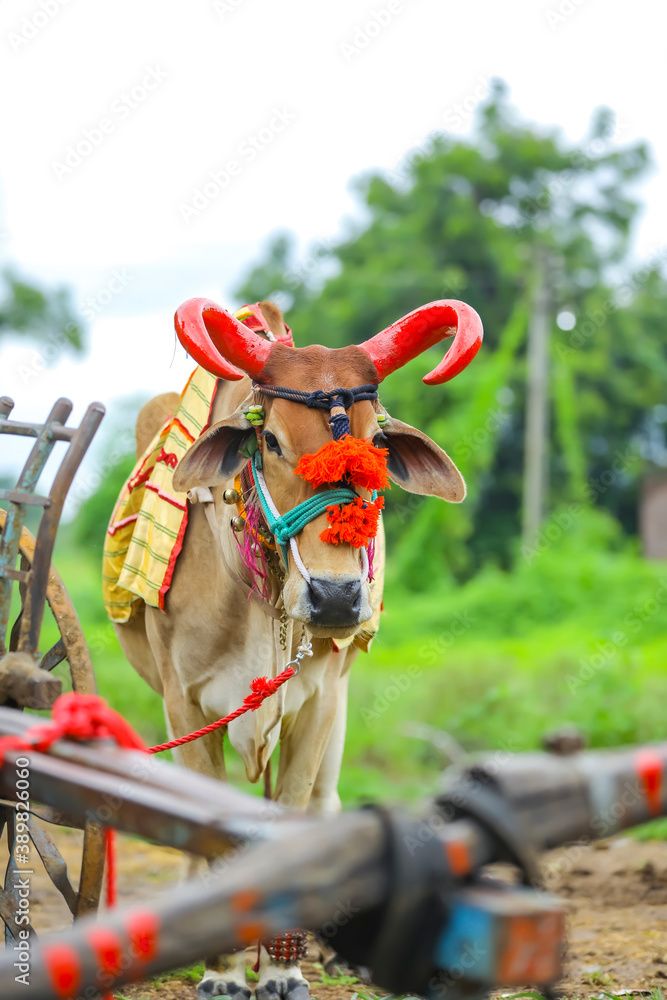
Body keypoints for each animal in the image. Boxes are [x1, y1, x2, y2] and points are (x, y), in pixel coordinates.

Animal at [112, 296, 483, 1000]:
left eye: (376, 444)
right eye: (273, 441)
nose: (336, 599)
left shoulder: (320, 701)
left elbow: (294, 813)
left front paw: (282, 968)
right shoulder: (184, 704)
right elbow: (208, 830)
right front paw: (223, 971)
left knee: (322, 803)